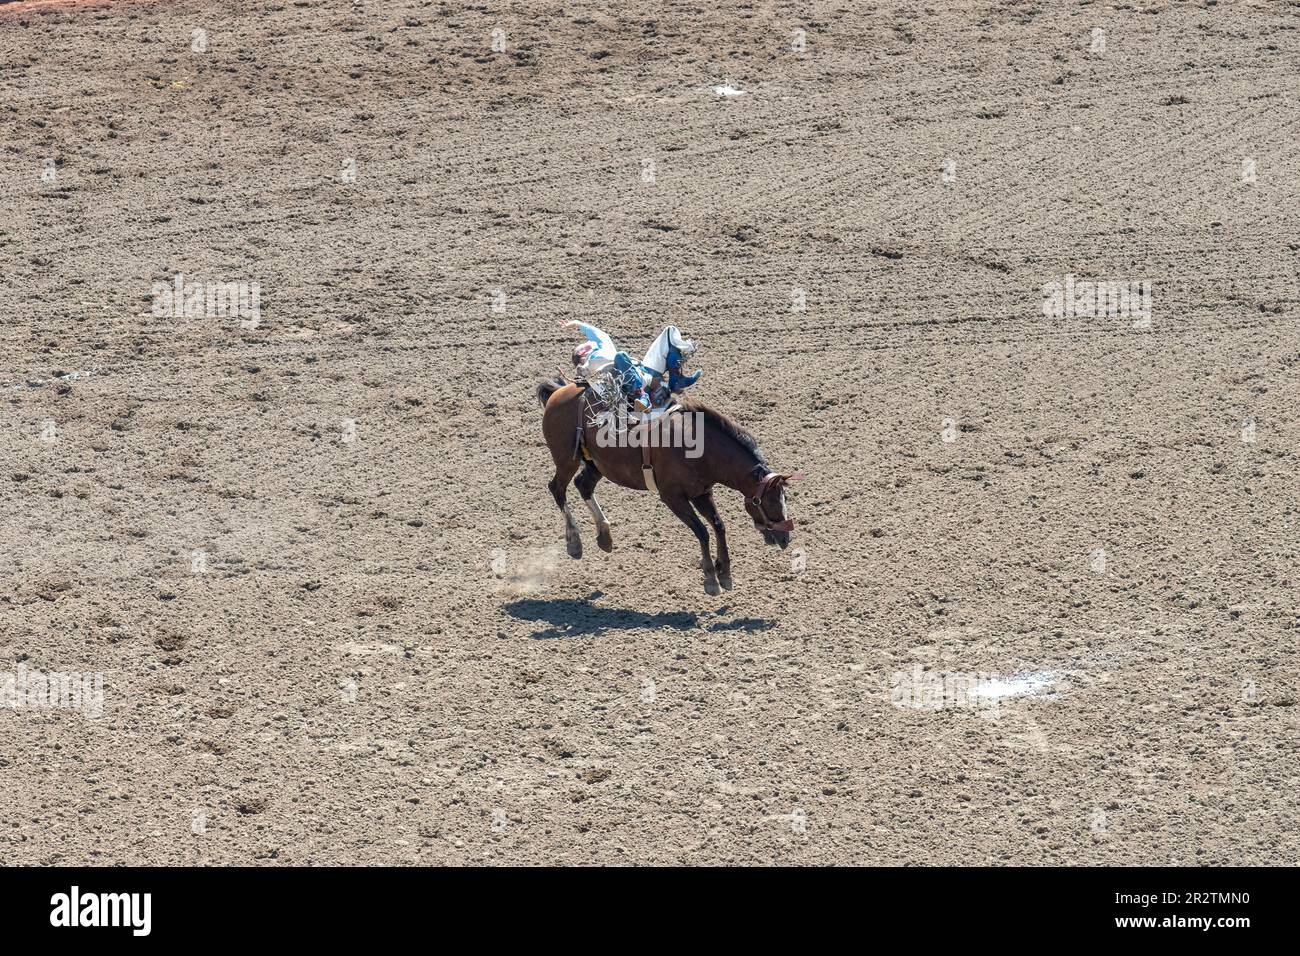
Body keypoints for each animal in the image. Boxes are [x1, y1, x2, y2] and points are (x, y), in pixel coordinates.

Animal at [537, 377, 800, 595]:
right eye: (768, 502)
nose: (786, 539)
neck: (700, 448)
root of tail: (558, 391)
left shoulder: (702, 493)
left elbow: (718, 526)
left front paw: (724, 572)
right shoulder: (673, 497)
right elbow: (702, 531)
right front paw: (710, 579)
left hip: (596, 465)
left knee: (583, 485)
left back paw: (604, 535)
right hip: (566, 459)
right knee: (557, 488)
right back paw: (574, 540)